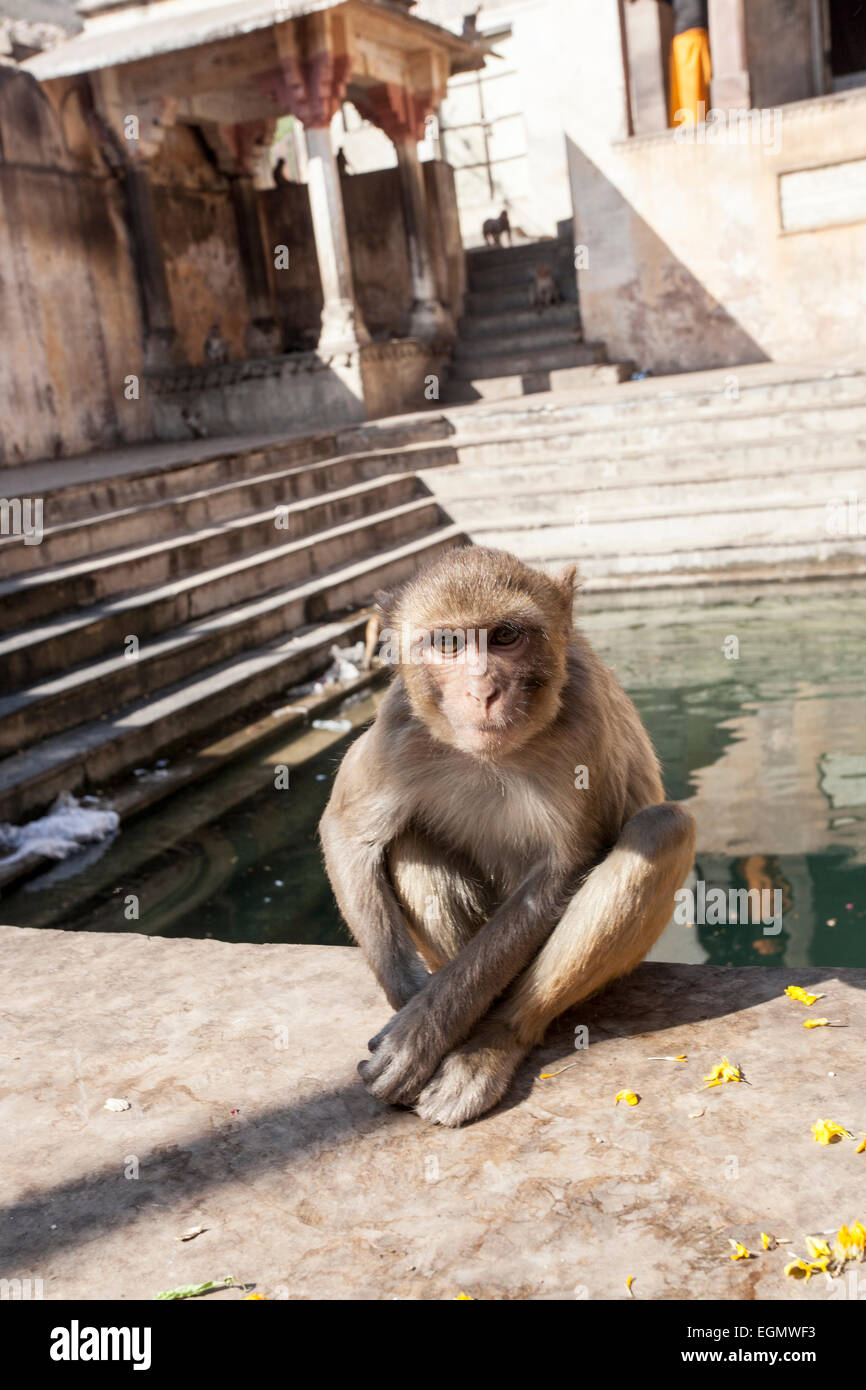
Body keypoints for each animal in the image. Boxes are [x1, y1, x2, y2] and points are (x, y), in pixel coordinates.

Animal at [319, 546, 696, 1128]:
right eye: (448, 642)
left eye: (504, 636)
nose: (483, 691)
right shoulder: (398, 725)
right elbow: (347, 833)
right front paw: (412, 1008)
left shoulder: (585, 719)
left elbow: (564, 870)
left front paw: (420, 1034)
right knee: (407, 841)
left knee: (662, 831)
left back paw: (493, 1039)